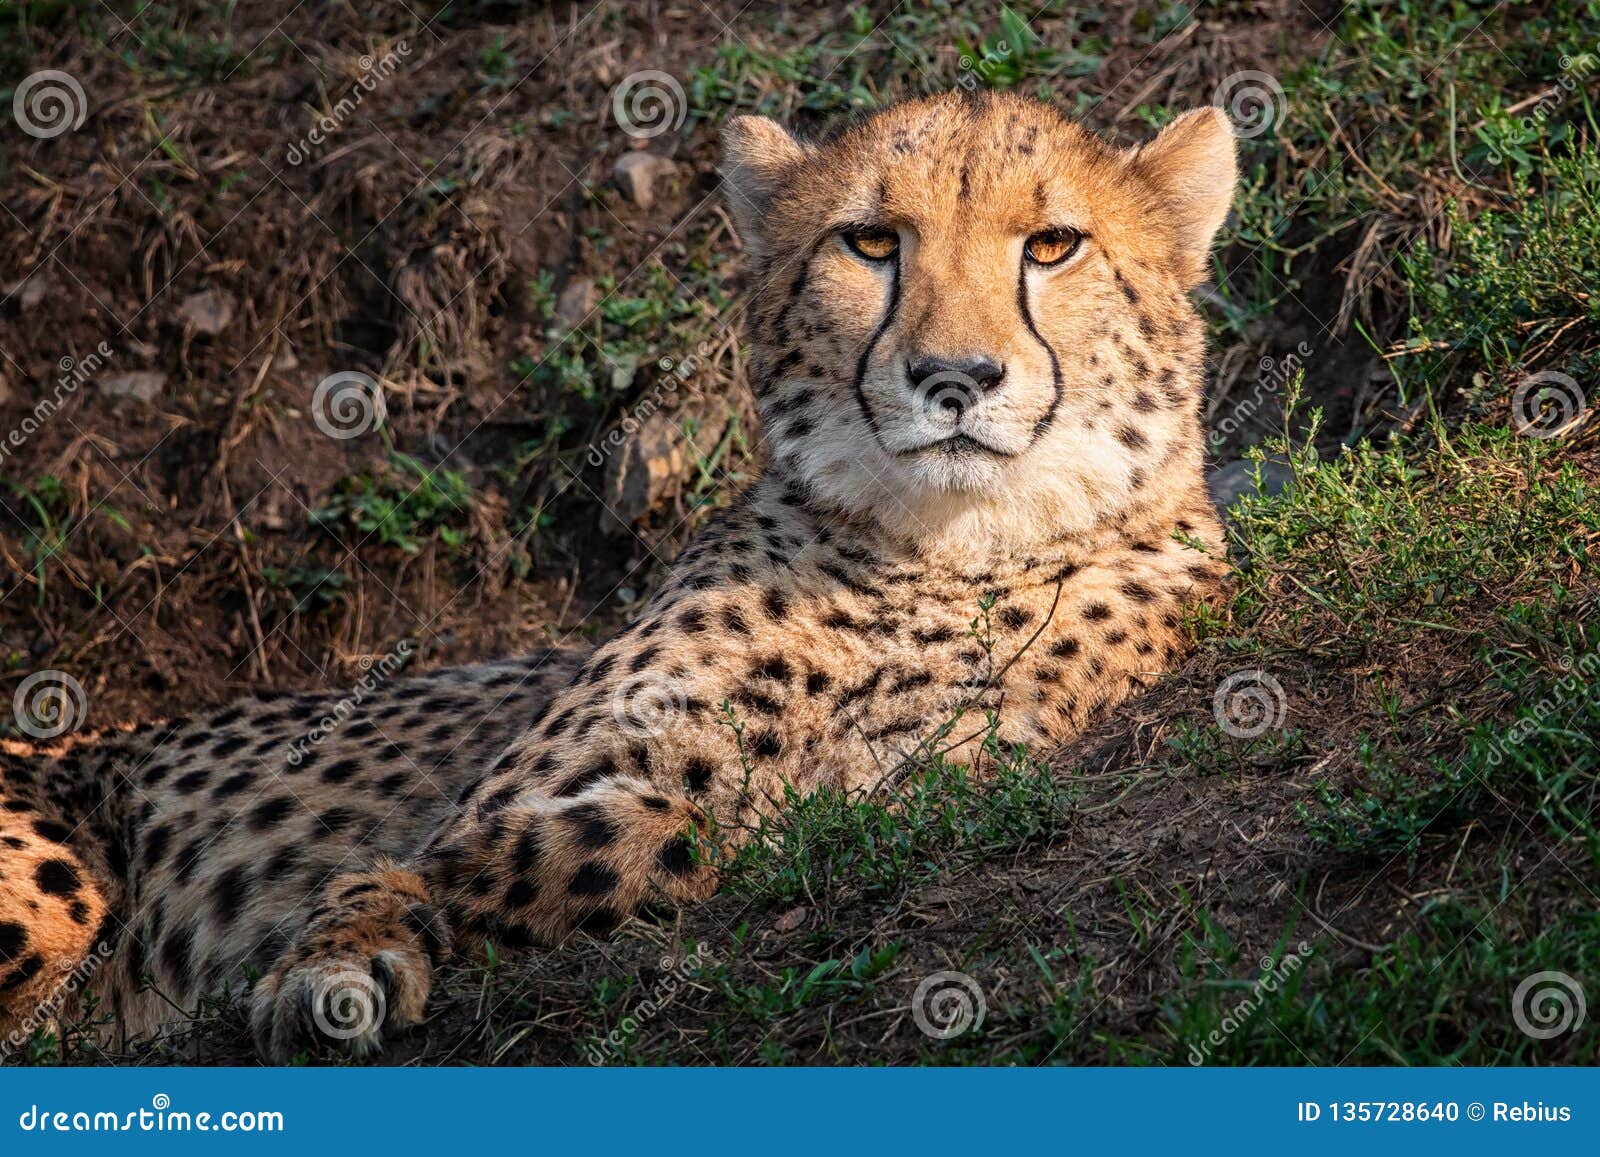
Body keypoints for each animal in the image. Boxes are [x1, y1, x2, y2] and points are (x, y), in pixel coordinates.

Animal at [0, 90, 1237, 1063]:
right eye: (872, 242)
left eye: (1054, 245)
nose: (954, 376)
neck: (928, 552)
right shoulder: (549, 778)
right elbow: (456, 852)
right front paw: (339, 954)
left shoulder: (911, 789)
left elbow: (621, 839)